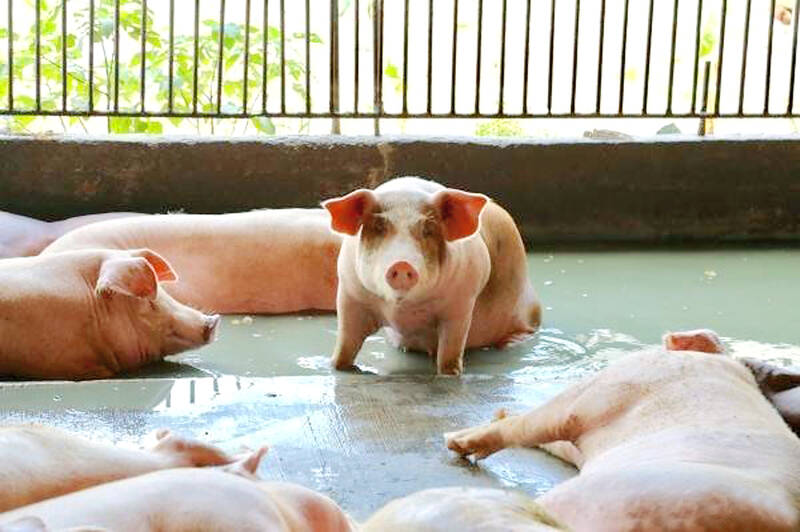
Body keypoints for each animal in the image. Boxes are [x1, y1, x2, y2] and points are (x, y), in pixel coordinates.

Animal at [322, 177, 541, 376]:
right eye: (378, 227)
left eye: (428, 230)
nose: (402, 264)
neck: (403, 312)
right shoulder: (350, 295)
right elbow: (346, 342)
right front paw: (337, 367)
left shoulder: (461, 303)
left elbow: (451, 349)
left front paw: (450, 373)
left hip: (527, 307)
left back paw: (509, 343)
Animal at [446, 329, 800, 531]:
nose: (449, 439)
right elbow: (555, 439)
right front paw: (498, 413)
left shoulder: (606, 388)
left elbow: (538, 422)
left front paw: (455, 441)